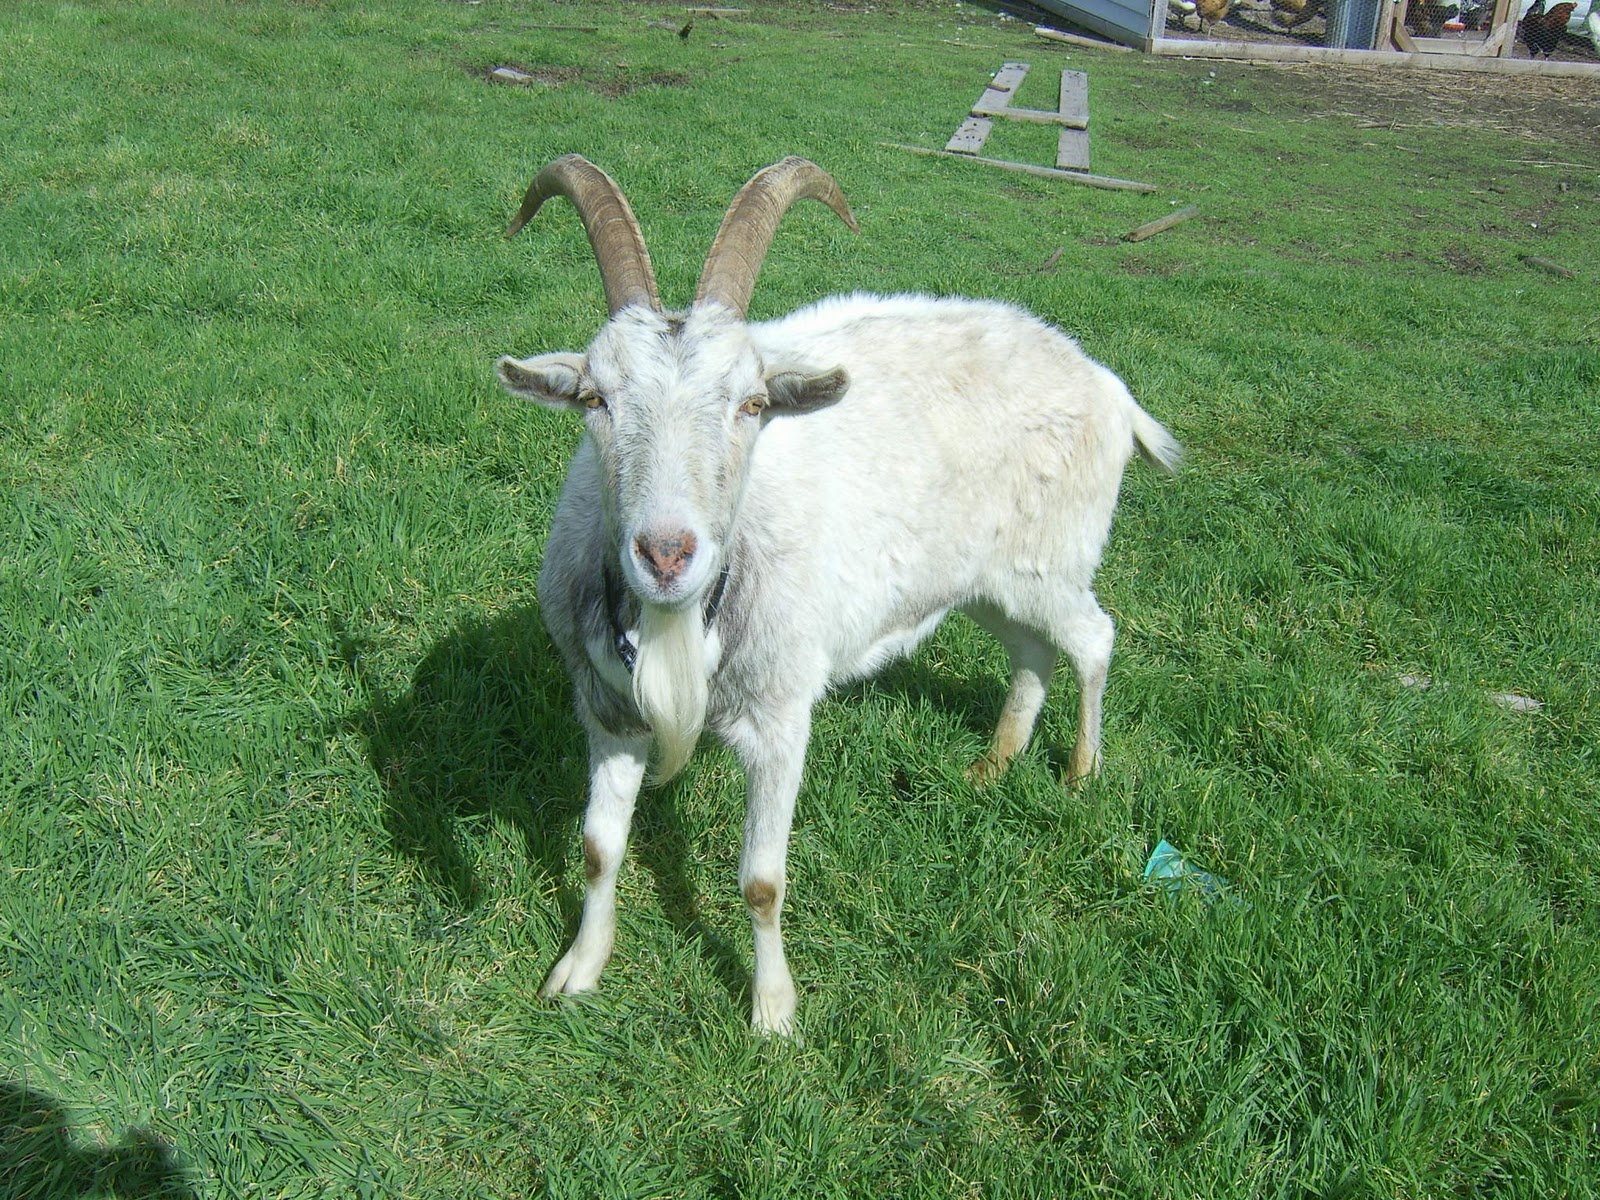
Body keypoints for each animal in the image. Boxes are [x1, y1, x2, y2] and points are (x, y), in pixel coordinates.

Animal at [496, 156, 1180, 1035]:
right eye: (595, 399)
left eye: (754, 402)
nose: (667, 553)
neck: (683, 624)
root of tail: (1107, 386)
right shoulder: (608, 710)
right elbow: (596, 847)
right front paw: (578, 970)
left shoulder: (781, 715)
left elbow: (761, 882)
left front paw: (773, 1012)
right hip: (986, 577)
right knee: (1032, 651)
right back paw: (993, 765)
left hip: (1052, 558)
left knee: (1093, 637)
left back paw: (1080, 771)